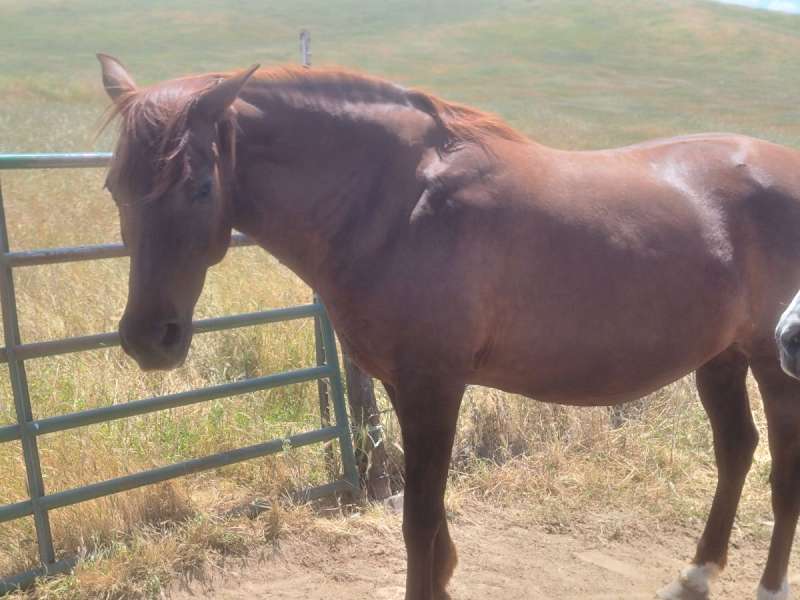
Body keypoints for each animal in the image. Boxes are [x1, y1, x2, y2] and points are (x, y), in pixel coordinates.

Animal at [97, 53, 800, 600]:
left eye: (198, 186)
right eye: (113, 188)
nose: (147, 338)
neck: (398, 203)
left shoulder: (433, 385)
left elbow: (419, 521)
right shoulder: (407, 387)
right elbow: (432, 521)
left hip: (776, 364)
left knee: (783, 472)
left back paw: (767, 586)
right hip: (721, 357)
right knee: (736, 450)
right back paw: (696, 574)